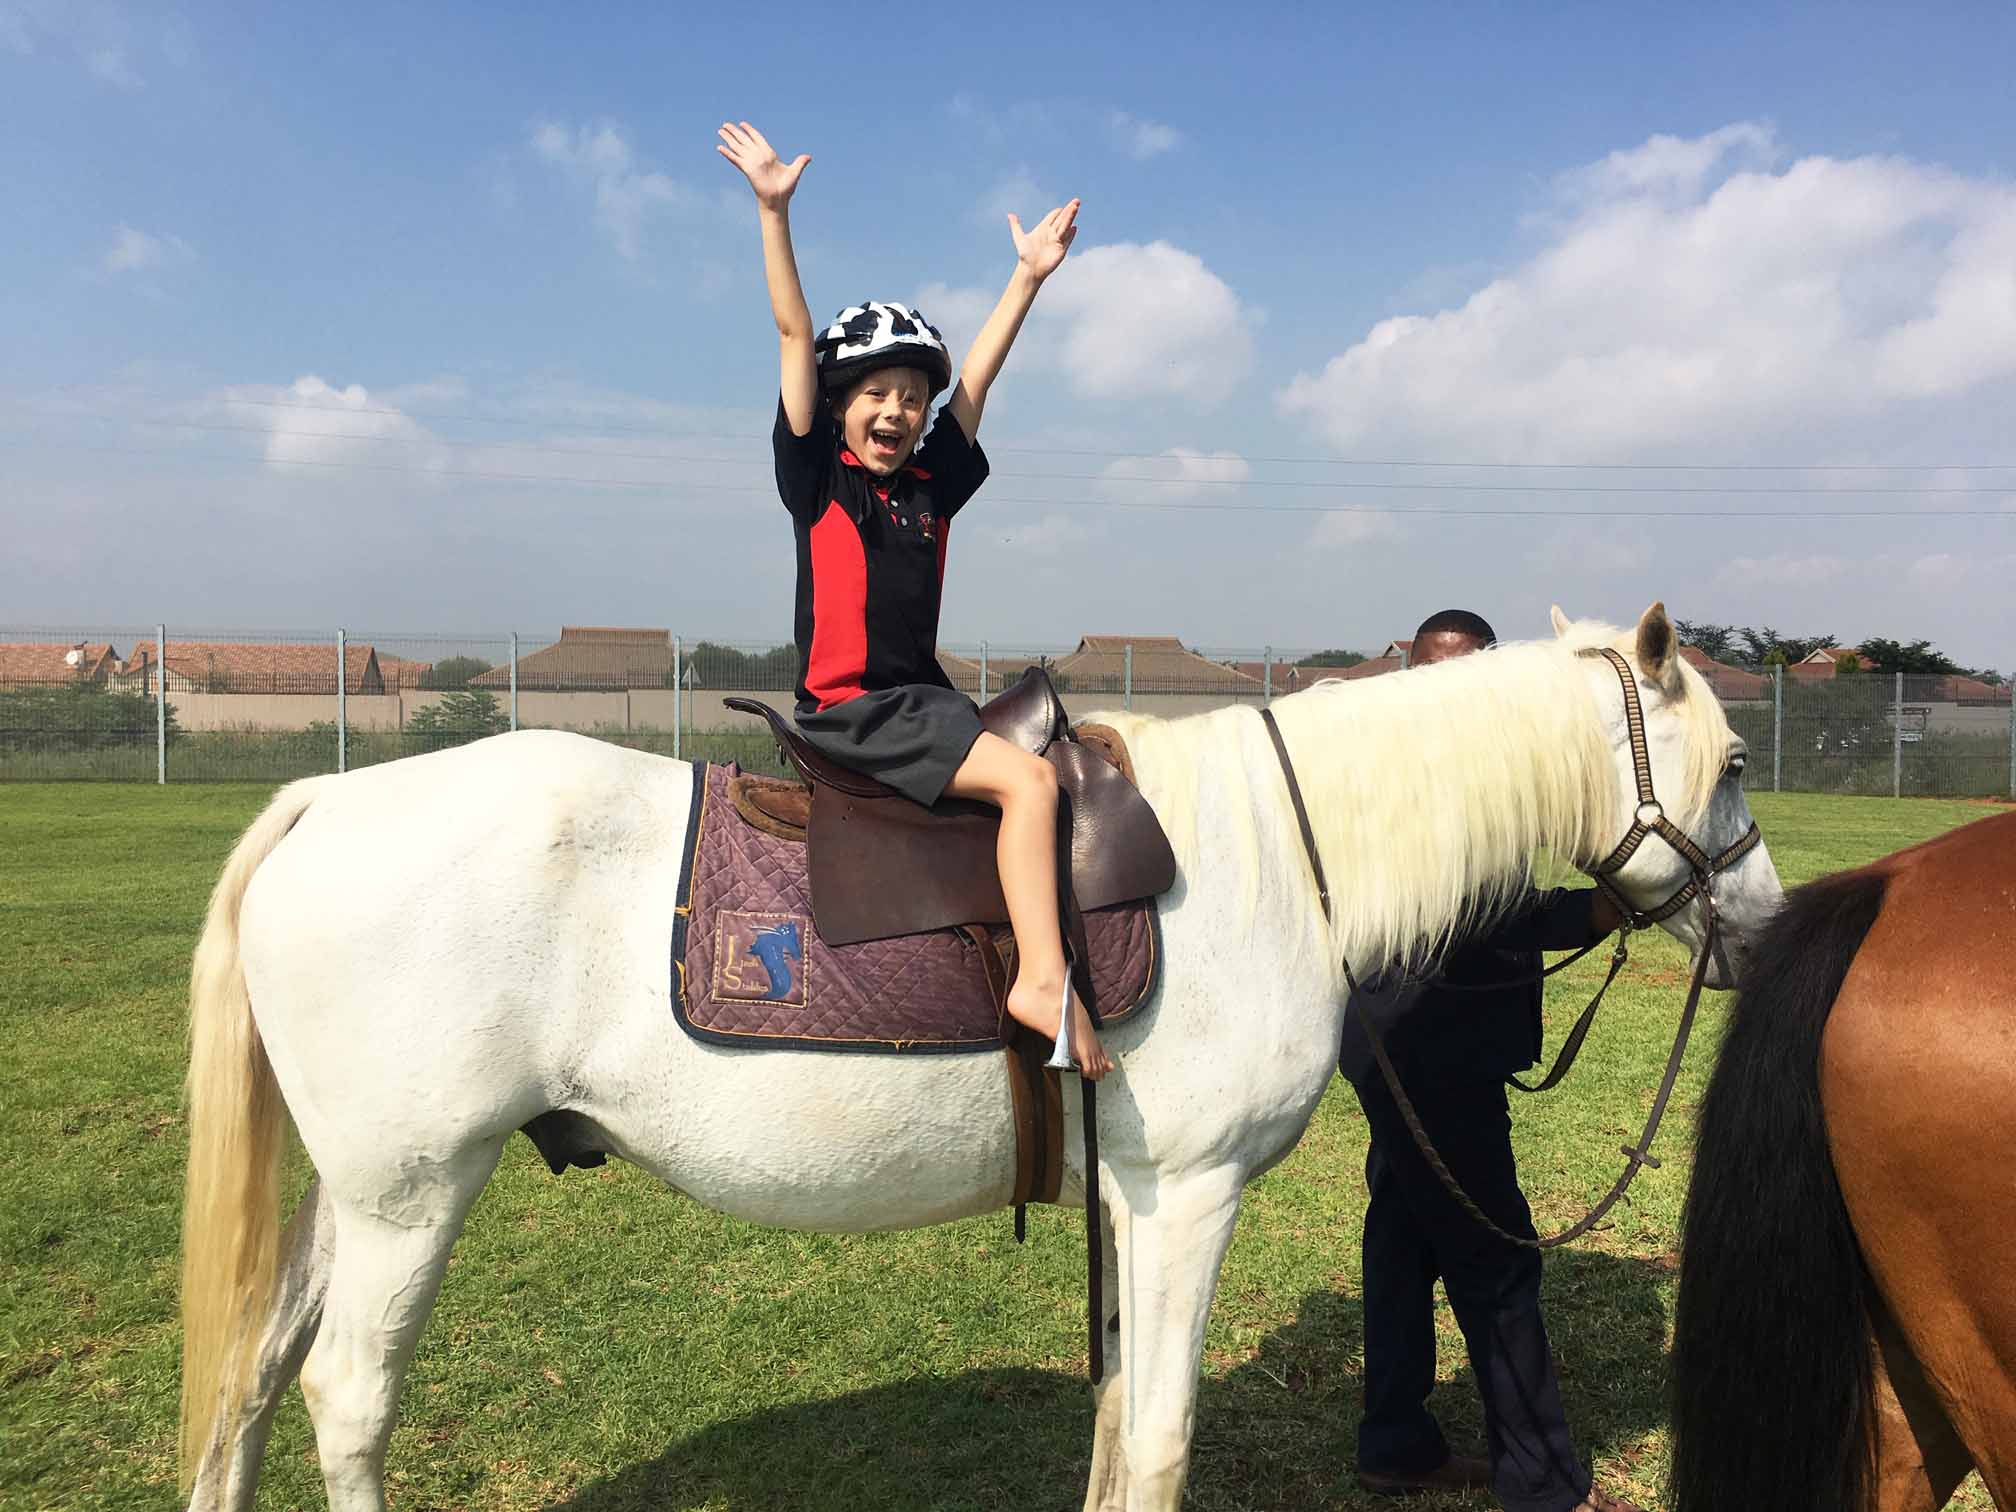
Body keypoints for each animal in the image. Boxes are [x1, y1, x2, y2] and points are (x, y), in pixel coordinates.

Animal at [178, 603, 1781, 1512]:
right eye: (1734, 762)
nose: (1762, 921)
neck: (1281, 850)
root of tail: (327, 798)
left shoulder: (1133, 1205)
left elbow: (1118, 1426)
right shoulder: (1191, 1198)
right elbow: (1161, 1440)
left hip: (352, 1193)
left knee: (253, 1374)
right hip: (411, 1194)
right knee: (346, 1401)